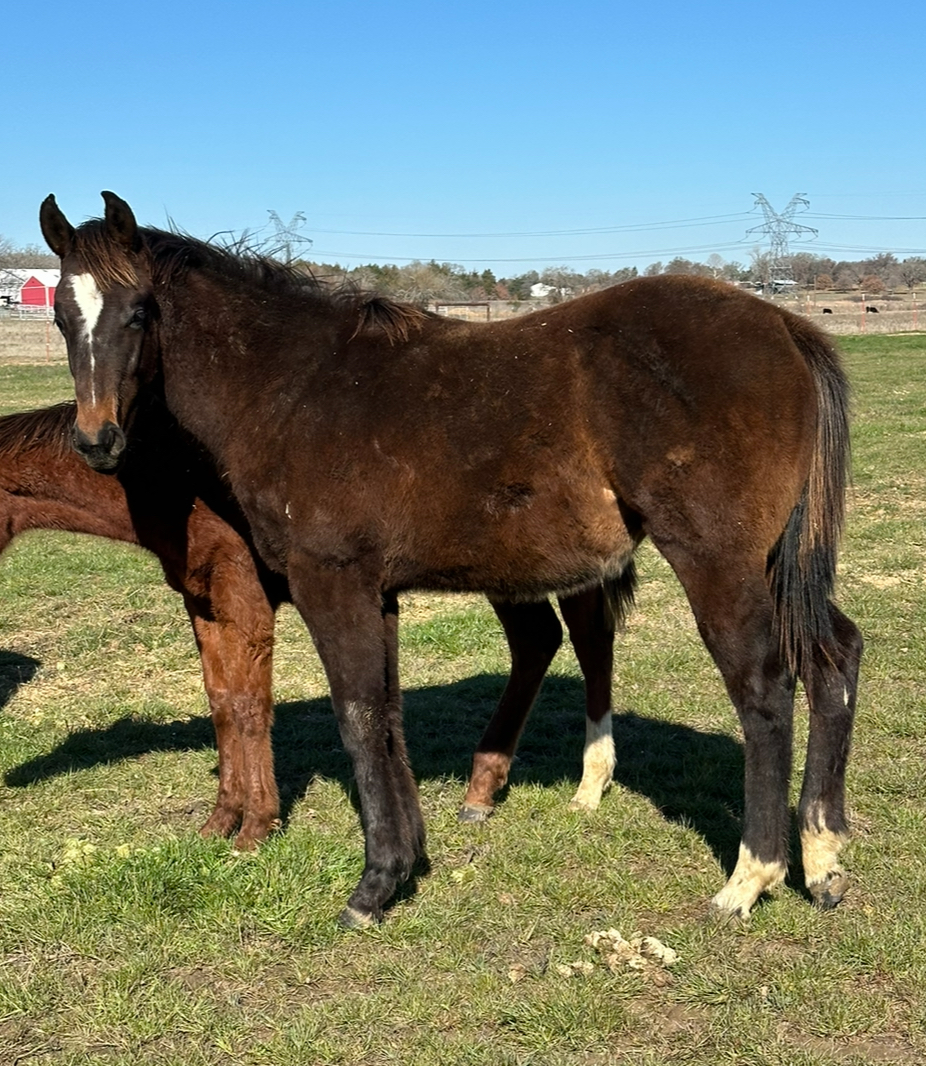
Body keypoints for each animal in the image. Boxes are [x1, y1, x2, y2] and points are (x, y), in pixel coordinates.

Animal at [0, 400, 623, 839]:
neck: (177, 478)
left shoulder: (245, 597)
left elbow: (250, 705)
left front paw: (256, 826)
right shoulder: (203, 602)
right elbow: (221, 702)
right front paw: (220, 820)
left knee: (587, 639)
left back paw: (588, 785)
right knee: (540, 640)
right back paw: (482, 790)